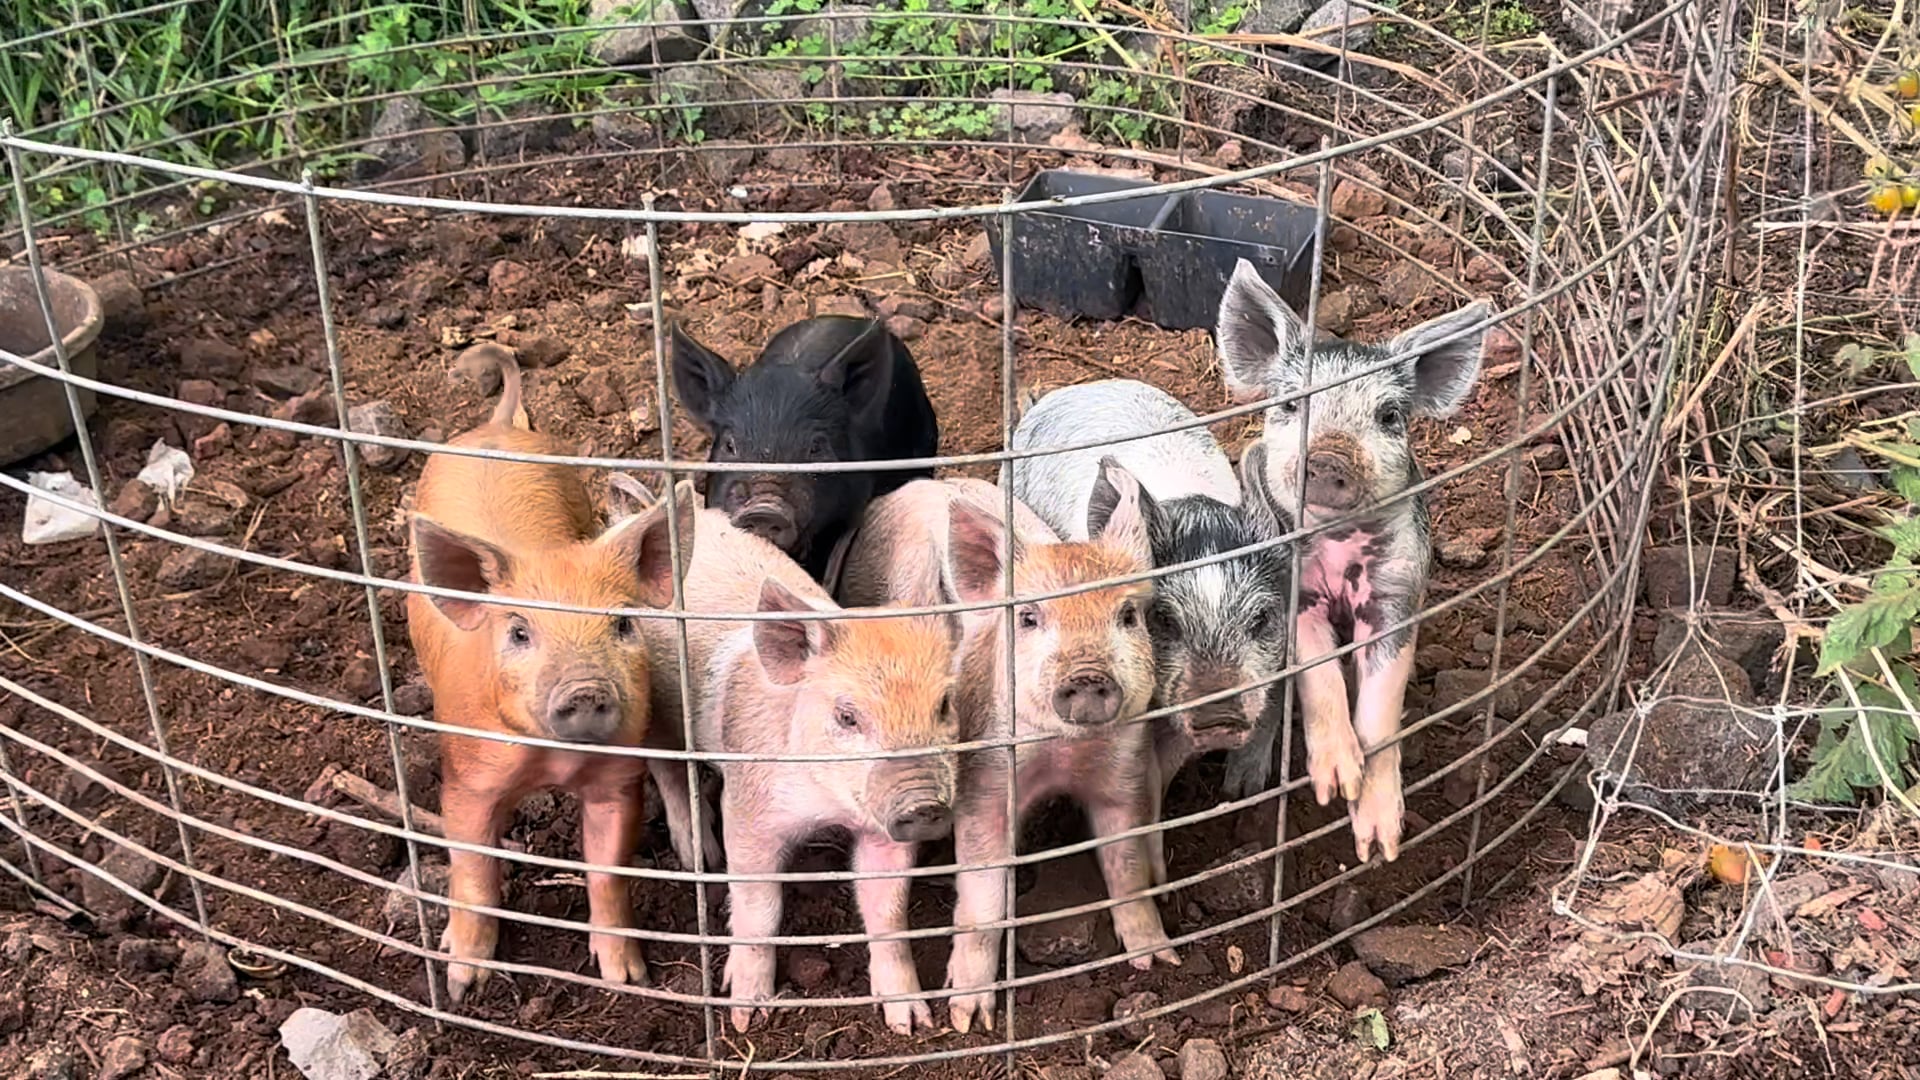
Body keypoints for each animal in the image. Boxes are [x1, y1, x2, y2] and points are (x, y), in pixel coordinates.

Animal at [406, 347, 696, 1006]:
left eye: (622, 623)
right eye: (518, 632)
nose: (585, 688)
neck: (552, 765)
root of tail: (497, 425)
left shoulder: (618, 777)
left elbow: (608, 873)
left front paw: (629, 979)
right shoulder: (467, 776)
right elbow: (472, 871)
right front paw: (463, 983)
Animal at [637, 508, 960, 1036]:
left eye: (944, 705)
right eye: (847, 716)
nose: (924, 804)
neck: (825, 803)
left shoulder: (883, 828)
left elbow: (888, 909)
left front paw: (911, 1023)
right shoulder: (748, 808)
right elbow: (758, 906)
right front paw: (746, 1016)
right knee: (669, 774)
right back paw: (699, 856)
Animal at [838, 473, 1173, 1035]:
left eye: (1127, 614)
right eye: (1030, 618)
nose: (1087, 674)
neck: (1063, 753)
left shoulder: (1121, 772)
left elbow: (1126, 869)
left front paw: (1158, 958)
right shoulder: (986, 783)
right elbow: (984, 899)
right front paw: (966, 1017)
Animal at [1215, 258, 1489, 864]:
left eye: (1389, 415)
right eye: (1290, 404)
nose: (1329, 457)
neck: (1340, 551)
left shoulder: (1397, 591)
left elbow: (1383, 704)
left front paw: (1379, 843)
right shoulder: (1295, 595)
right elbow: (1319, 679)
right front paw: (1336, 784)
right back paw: (1241, 785)